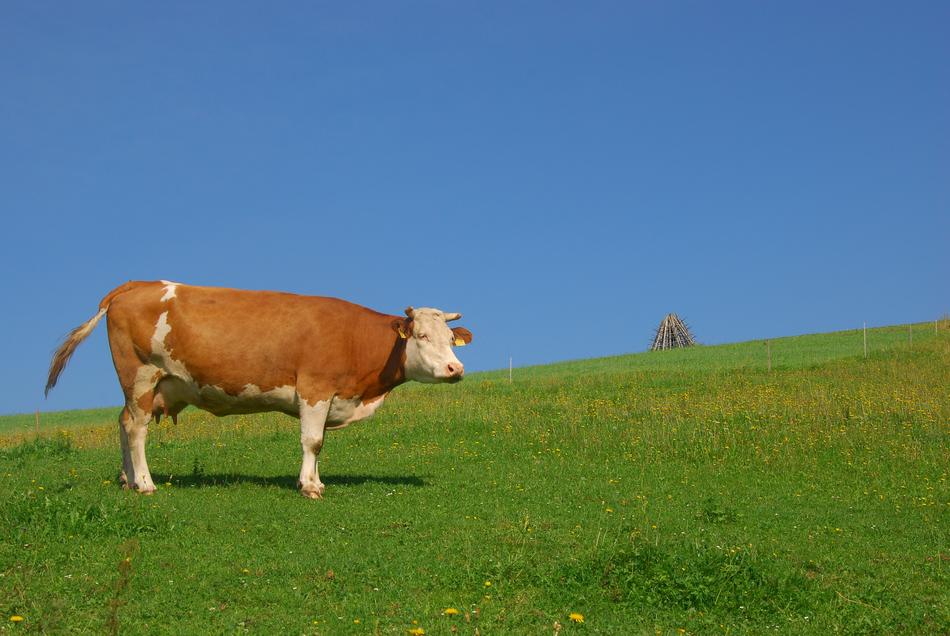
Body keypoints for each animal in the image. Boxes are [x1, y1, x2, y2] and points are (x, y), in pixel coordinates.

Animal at [44, 281, 473, 499]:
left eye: (450, 338)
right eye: (421, 335)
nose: (456, 368)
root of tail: (136, 285)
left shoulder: (328, 397)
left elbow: (318, 443)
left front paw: (316, 480)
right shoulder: (315, 389)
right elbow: (313, 441)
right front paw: (309, 487)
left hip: (140, 387)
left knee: (122, 424)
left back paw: (126, 478)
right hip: (141, 376)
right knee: (136, 429)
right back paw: (145, 484)